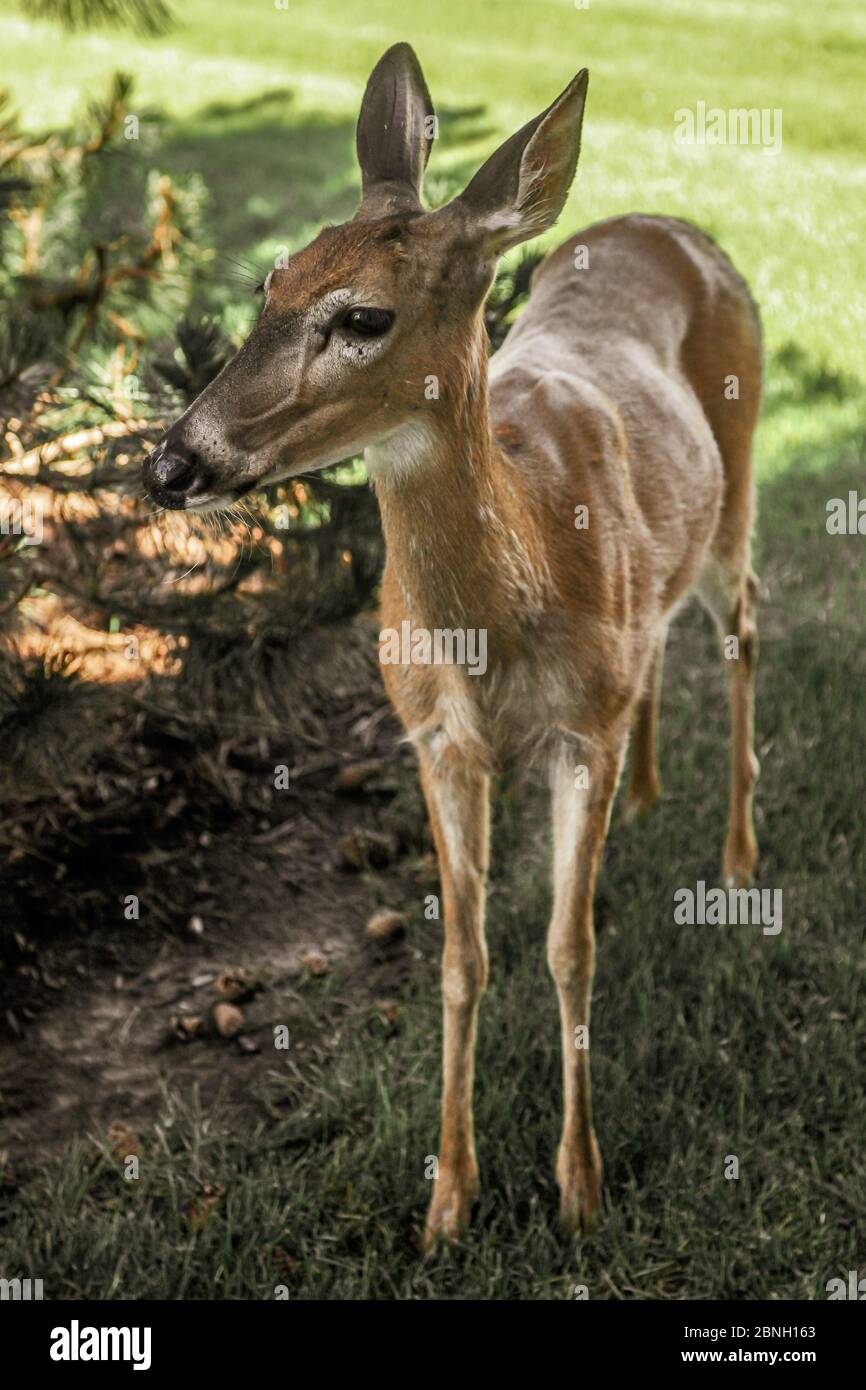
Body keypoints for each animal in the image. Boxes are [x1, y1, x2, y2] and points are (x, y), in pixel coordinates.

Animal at [143, 44, 762, 1246]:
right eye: (269, 286)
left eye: (363, 318)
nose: (170, 463)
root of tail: (672, 222)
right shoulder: (432, 734)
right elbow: (459, 955)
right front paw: (446, 1198)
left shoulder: (577, 732)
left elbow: (570, 946)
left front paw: (579, 1187)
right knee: (662, 640)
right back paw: (654, 799)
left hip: (737, 485)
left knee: (744, 622)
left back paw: (735, 857)